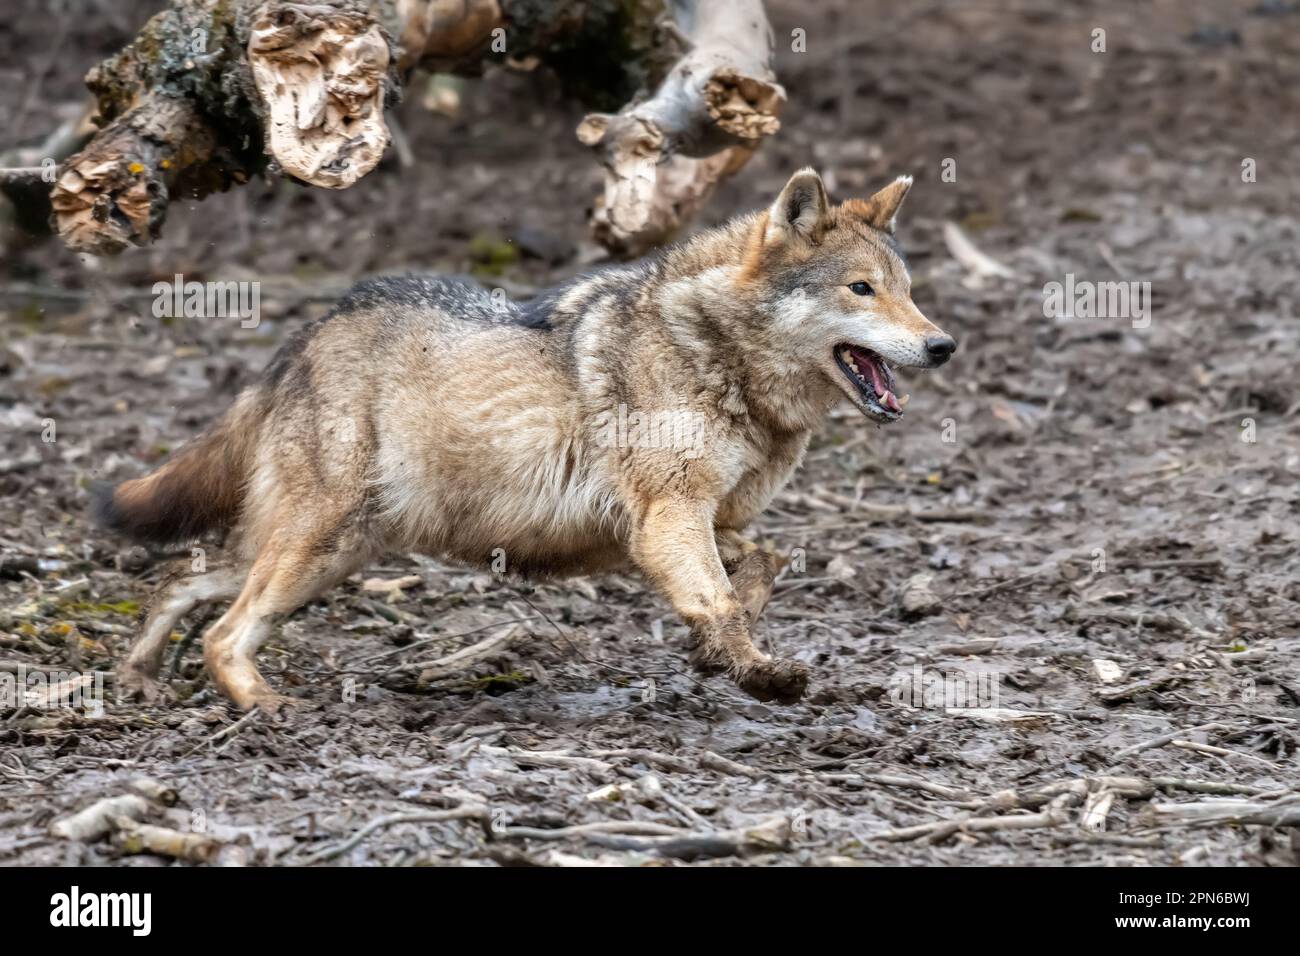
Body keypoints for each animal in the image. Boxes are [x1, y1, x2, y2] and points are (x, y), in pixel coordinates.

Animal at [95, 168, 956, 712]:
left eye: (911, 292)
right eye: (861, 290)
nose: (944, 344)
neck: (714, 352)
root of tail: (306, 333)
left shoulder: (707, 520)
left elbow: (762, 569)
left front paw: (718, 653)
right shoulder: (669, 519)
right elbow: (719, 598)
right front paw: (758, 675)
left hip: (331, 555)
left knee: (185, 581)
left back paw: (139, 677)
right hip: (316, 547)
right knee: (222, 631)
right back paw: (268, 708)